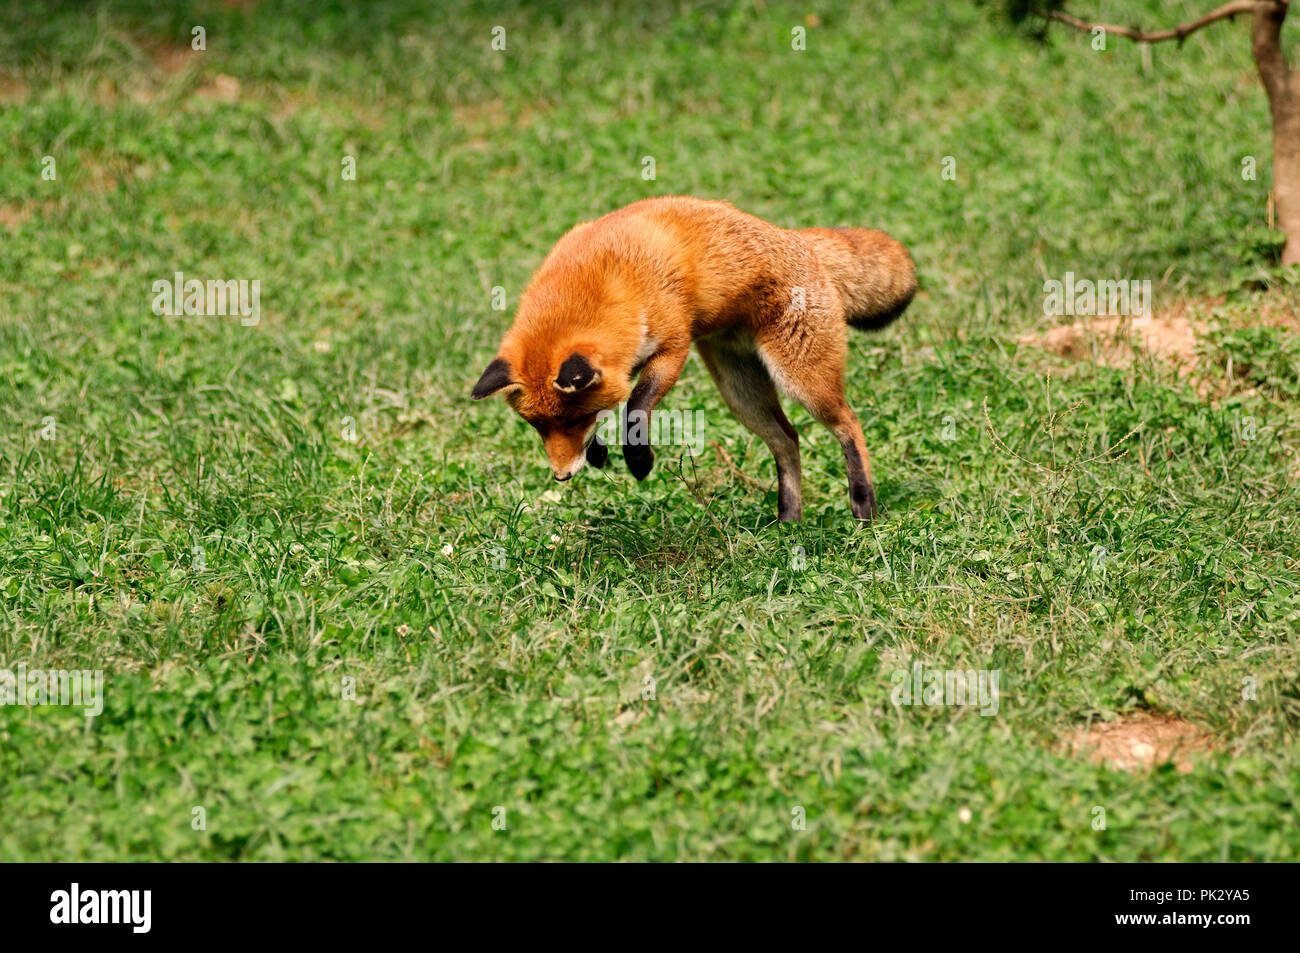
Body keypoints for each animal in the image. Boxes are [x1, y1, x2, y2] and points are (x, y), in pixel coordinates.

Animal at [470, 196, 916, 522]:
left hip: (801, 380)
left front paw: (639, 460)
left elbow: (636, 407)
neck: (606, 283)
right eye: (539, 427)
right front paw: (599, 451)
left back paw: (864, 505)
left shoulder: (673, 346)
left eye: (573, 420)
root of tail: (798, 238)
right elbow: (615, 407)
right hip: (741, 395)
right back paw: (789, 520)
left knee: (849, 425)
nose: (561, 476)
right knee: (788, 441)